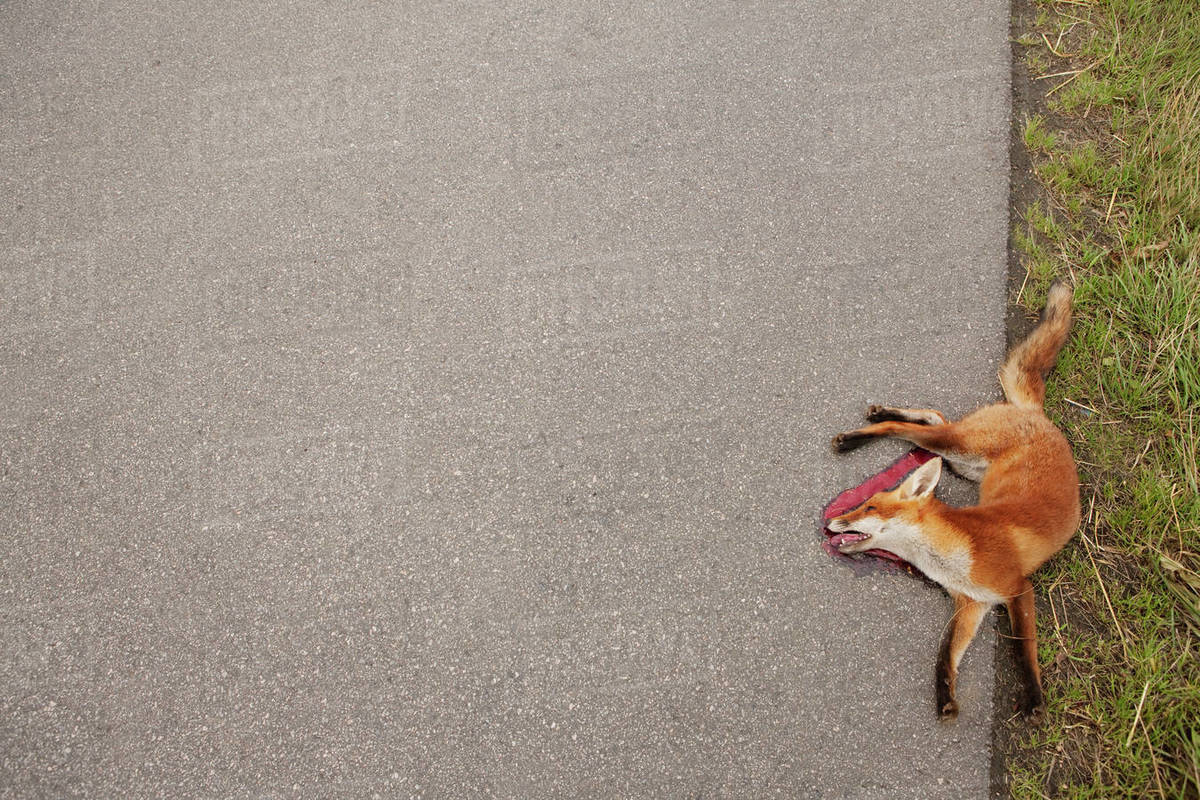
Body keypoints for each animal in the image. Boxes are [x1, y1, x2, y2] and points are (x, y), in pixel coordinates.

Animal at [825, 279, 1080, 723]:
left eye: (869, 506)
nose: (832, 520)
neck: (950, 556)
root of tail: (1037, 414)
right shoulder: (971, 603)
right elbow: (946, 653)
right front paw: (946, 694)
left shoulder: (1008, 591)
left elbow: (1020, 648)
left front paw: (1032, 695)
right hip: (961, 458)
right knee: (932, 417)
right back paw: (878, 415)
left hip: (958, 451)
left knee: (917, 426)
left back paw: (862, 431)